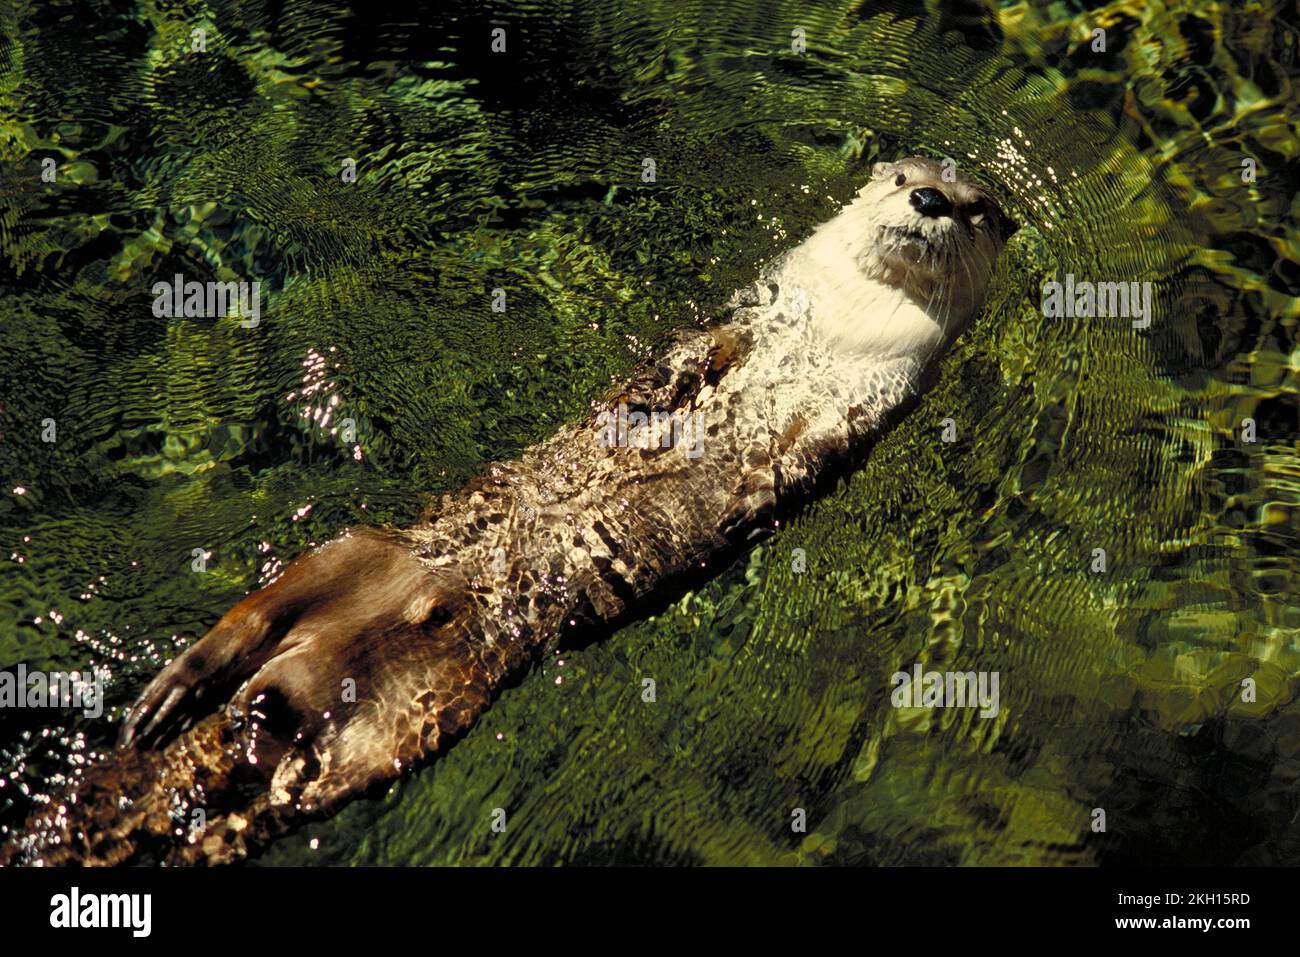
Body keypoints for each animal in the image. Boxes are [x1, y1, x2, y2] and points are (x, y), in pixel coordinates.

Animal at [2, 158, 1016, 865]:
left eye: (973, 206)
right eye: (907, 179)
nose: (931, 201)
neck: (841, 325)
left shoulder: (870, 404)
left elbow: (804, 451)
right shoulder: (751, 314)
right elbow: (689, 359)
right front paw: (657, 406)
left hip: (407, 719)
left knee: (283, 781)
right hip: (355, 550)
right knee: (258, 614)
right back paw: (174, 689)